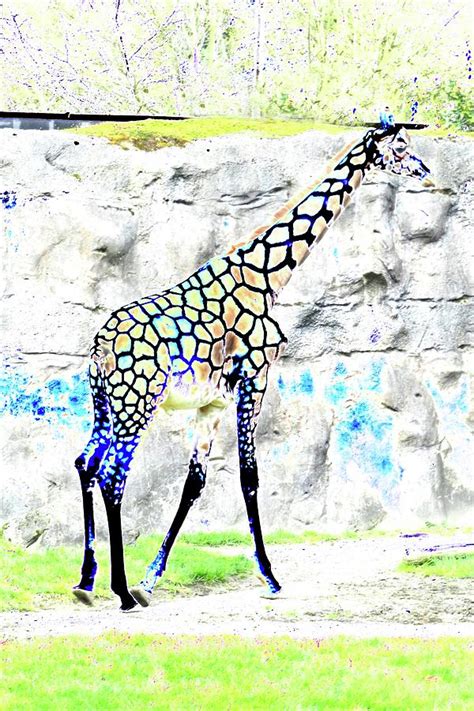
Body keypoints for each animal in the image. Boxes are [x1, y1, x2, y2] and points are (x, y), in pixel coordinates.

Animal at [73, 122, 433, 611]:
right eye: (399, 146)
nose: (426, 171)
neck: (267, 275)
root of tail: (100, 346)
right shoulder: (256, 377)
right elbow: (249, 476)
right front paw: (271, 577)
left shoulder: (212, 405)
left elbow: (195, 483)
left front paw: (151, 580)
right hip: (137, 404)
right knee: (112, 478)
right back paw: (120, 592)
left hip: (105, 406)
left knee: (85, 464)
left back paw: (86, 582)